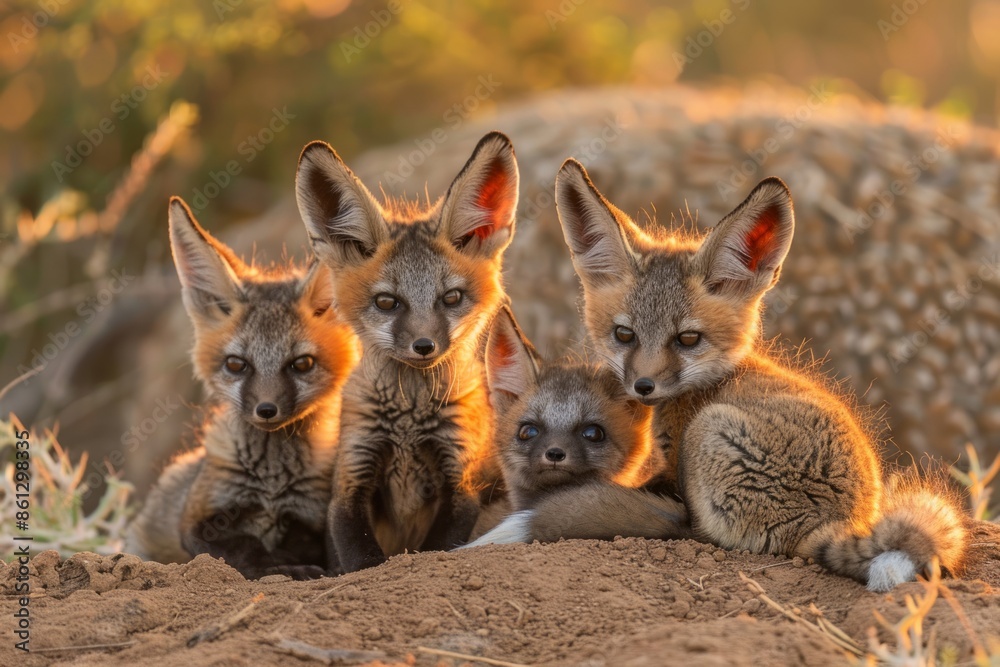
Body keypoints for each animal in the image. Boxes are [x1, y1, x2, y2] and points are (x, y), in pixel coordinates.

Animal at [125, 197, 359, 580]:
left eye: (302, 364)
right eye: (237, 365)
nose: (266, 410)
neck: (272, 484)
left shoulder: (311, 518)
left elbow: (296, 546)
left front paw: (293, 564)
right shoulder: (200, 518)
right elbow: (244, 548)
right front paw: (279, 567)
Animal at [295, 132, 519, 572]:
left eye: (451, 298)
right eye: (387, 302)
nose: (424, 346)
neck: (408, 424)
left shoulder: (459, 479)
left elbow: (434, 549)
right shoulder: (353, 474)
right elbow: (359, 556)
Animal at [471, 162, 968, 592]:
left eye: (688, 339)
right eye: (624, 334)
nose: (643, 387)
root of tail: (833, 520)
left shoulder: (675, 461)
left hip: (709, 433)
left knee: (698, 532)